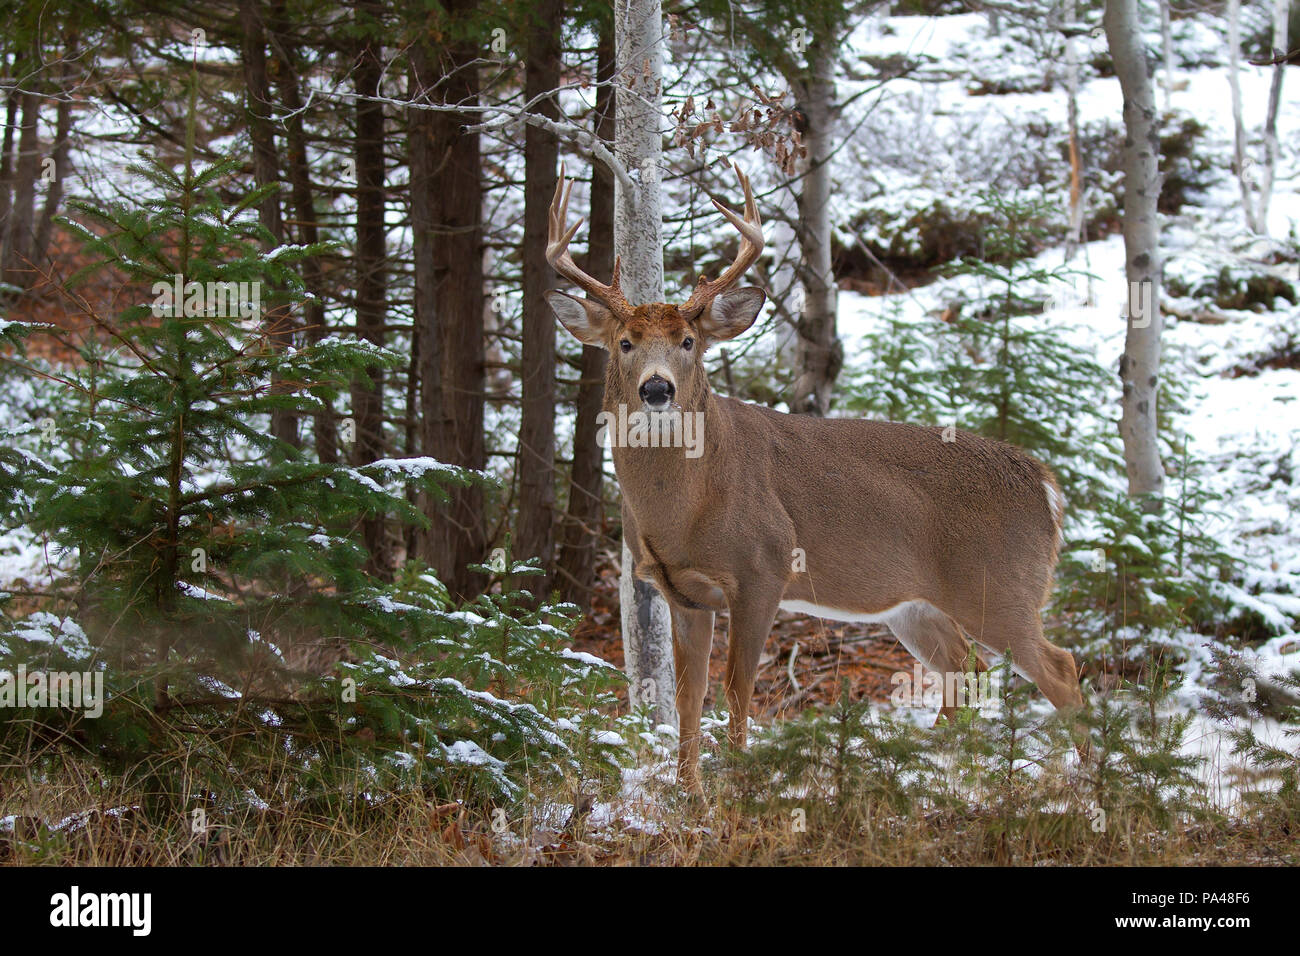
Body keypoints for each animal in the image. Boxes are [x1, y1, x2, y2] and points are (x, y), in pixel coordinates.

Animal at [545, 162, 1085, 793]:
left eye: (689, 341)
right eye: (625, 342)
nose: (658, 388)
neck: (686, 509)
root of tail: (1046, 486)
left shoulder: (764, 568)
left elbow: (737, 689)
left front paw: (738, 784)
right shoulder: (683, 591)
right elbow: (688, 695)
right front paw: (690, 794)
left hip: (1000, 587)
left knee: (1059, 668)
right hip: (916, 606)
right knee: (963, 670)